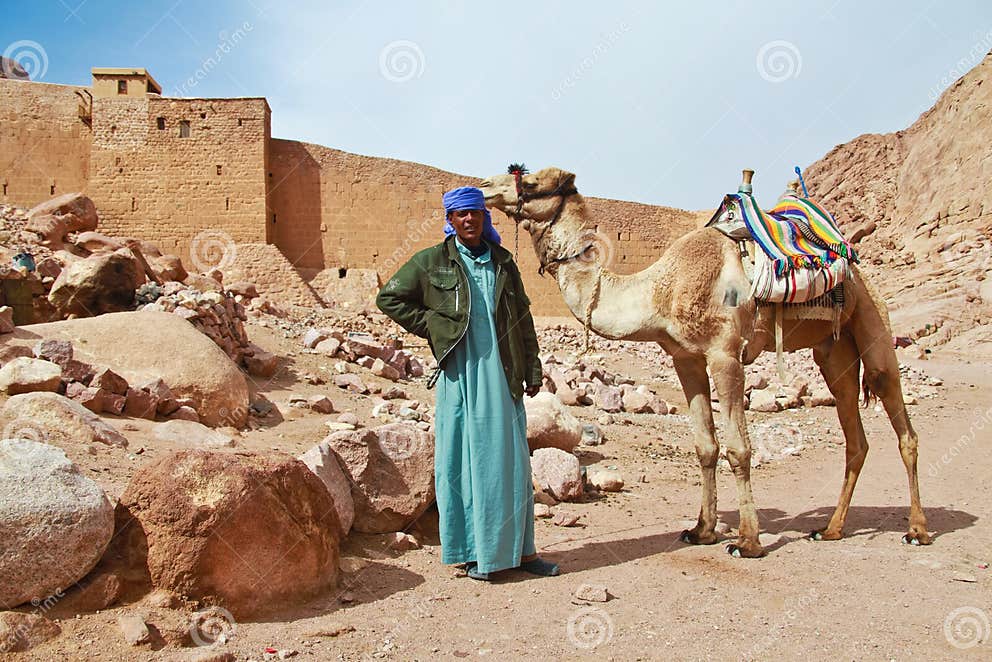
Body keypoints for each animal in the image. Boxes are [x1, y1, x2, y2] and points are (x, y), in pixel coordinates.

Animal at [479, 167, 930, 558]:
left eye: (531, 182)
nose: (483, 188)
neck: (659, 291)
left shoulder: (725, 354)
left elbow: (739, 449)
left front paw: (748, 542)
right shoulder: (686, 358)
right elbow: (706, 446)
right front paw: (702, 530)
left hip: (872, 320)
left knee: (900, 418)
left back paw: (917, 530)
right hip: (833, 349)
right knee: (854, 434)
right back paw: (832, 529)